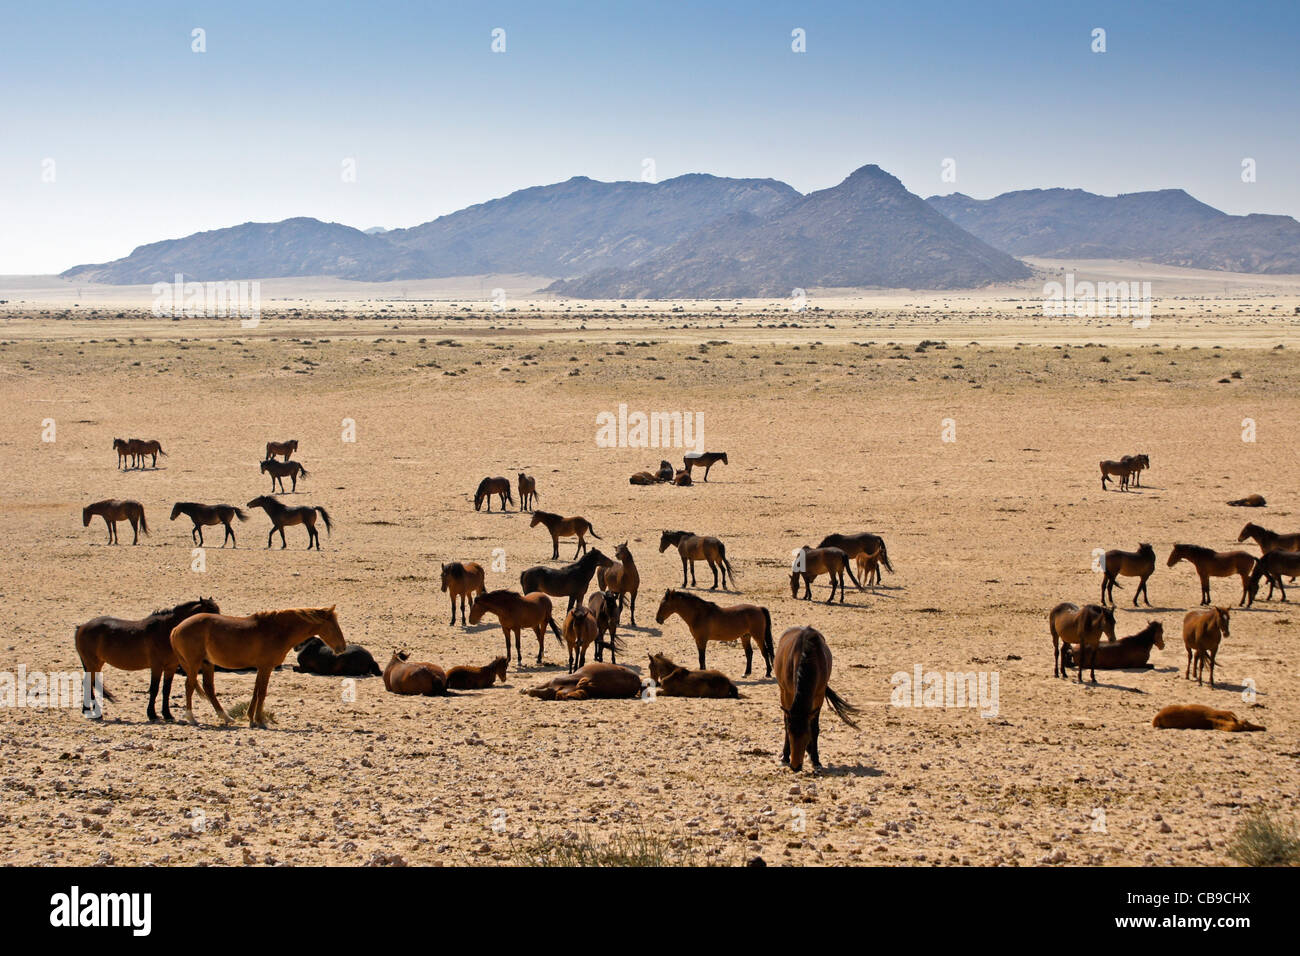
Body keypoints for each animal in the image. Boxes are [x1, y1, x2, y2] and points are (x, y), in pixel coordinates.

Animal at [75, 597, 219, 722]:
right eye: (211, 614)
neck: (165, 631)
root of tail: (82, 627)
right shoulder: (156, 667)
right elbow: (154, 689)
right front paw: (152, 714)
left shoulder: (170, 667)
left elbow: (166, 689)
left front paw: (167, 714)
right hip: (92, 664)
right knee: (88, 683)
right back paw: (91, 711)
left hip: (96, 664)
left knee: (89, 683)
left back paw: (89, 710)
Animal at [169, 606, 346, 727]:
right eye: (333, 626)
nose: (342, 647)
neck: (277, 631)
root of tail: (176, 628)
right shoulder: (266, 667)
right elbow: (262, 692)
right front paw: (260, 720)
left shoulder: (261, 668)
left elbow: (255, 691)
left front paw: (251, 718)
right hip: (194, 664)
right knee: (189, 686)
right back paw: (191, 718)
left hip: (207, 664)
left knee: (208, 688)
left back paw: (225, 717)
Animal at [775, 626, 860, 773]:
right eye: (791, 735)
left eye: (806, 736)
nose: (795, 767)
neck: (808, 657)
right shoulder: (788, 693)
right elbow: (787, 724)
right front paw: (785, 756)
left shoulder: (819, 695)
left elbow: (815, 727)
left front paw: (815, 759)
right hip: (783, 692)